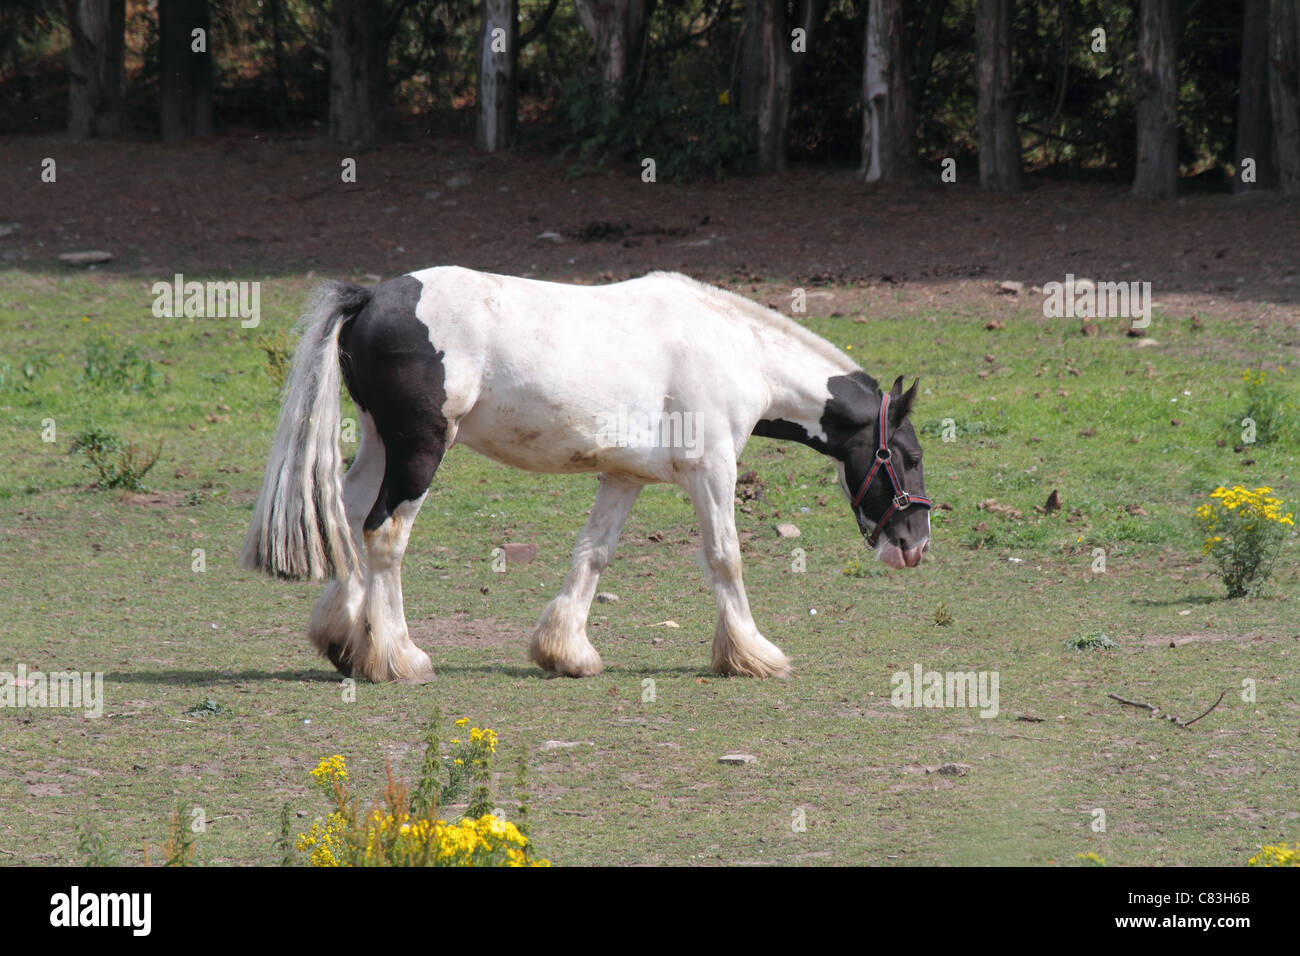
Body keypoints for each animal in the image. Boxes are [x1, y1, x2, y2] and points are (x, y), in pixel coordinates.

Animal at [241, 267, 931, 683]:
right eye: (909, 456)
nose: (914, 545)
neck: (738, 351)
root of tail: (370, 298)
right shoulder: (712, 471)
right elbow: (725, 557)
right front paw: (751, 653)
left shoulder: (623, 478)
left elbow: (593, 555)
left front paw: (565, 650)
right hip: (418, 452)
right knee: (383, 533)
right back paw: (398, 656)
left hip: (380, 447)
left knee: (346, 516)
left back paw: (344, 640)